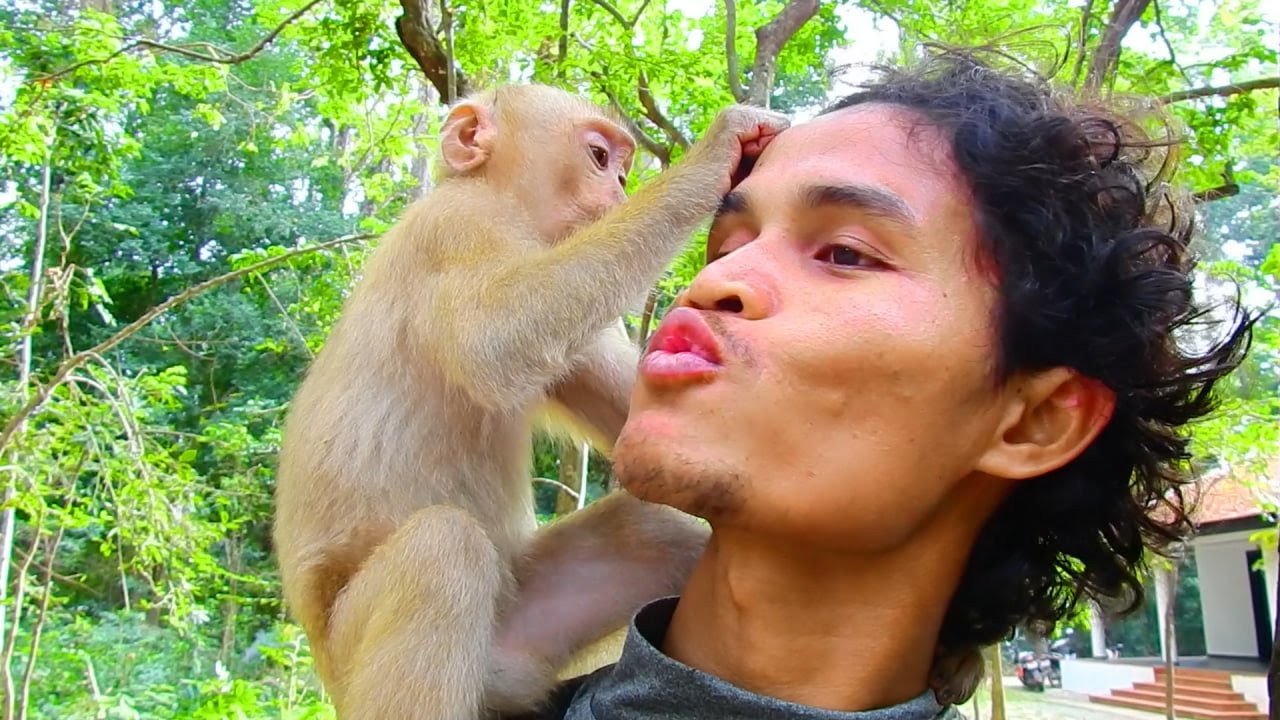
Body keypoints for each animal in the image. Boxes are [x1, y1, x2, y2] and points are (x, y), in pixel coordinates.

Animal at [273, 85, 791, 720]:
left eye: (623, 169)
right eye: (600, 158)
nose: (620, 191)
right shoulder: (459, 224)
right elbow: (494, 339)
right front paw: (716, 154)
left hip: (523, 637)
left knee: (644, 532)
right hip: (351, 651)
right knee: (440, 553)